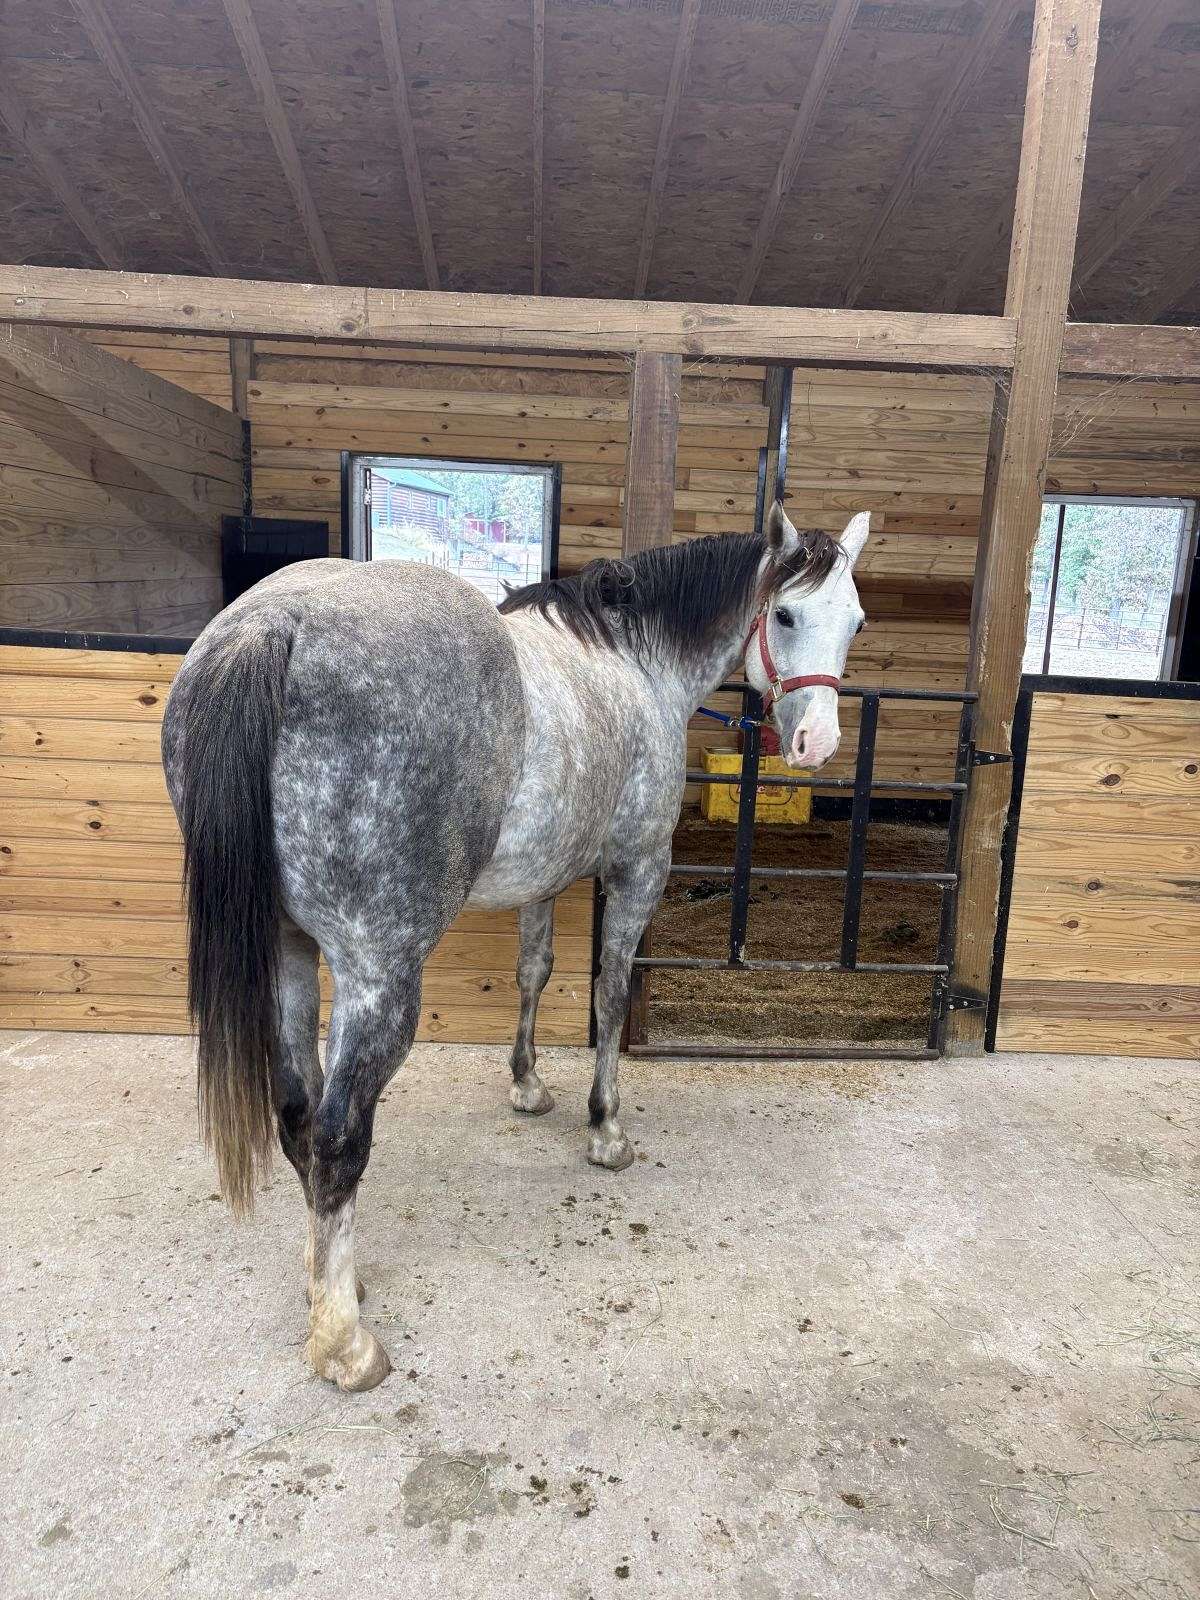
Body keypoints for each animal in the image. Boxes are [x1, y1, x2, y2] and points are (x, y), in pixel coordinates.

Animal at [161, 501, 869, 1391]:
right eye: (786, 615)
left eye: (855, 620)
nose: (816, 744)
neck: (633, 660)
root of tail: (271, 623)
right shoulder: (637, 870)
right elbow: (609, 991)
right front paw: (605, 1130)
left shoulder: (545, 880)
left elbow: (535, 972)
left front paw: (528, 1084)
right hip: (377, 975)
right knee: (336, 1138)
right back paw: (345, 1342)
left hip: (290, 952)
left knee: (296, 1113)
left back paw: (329, 1281)